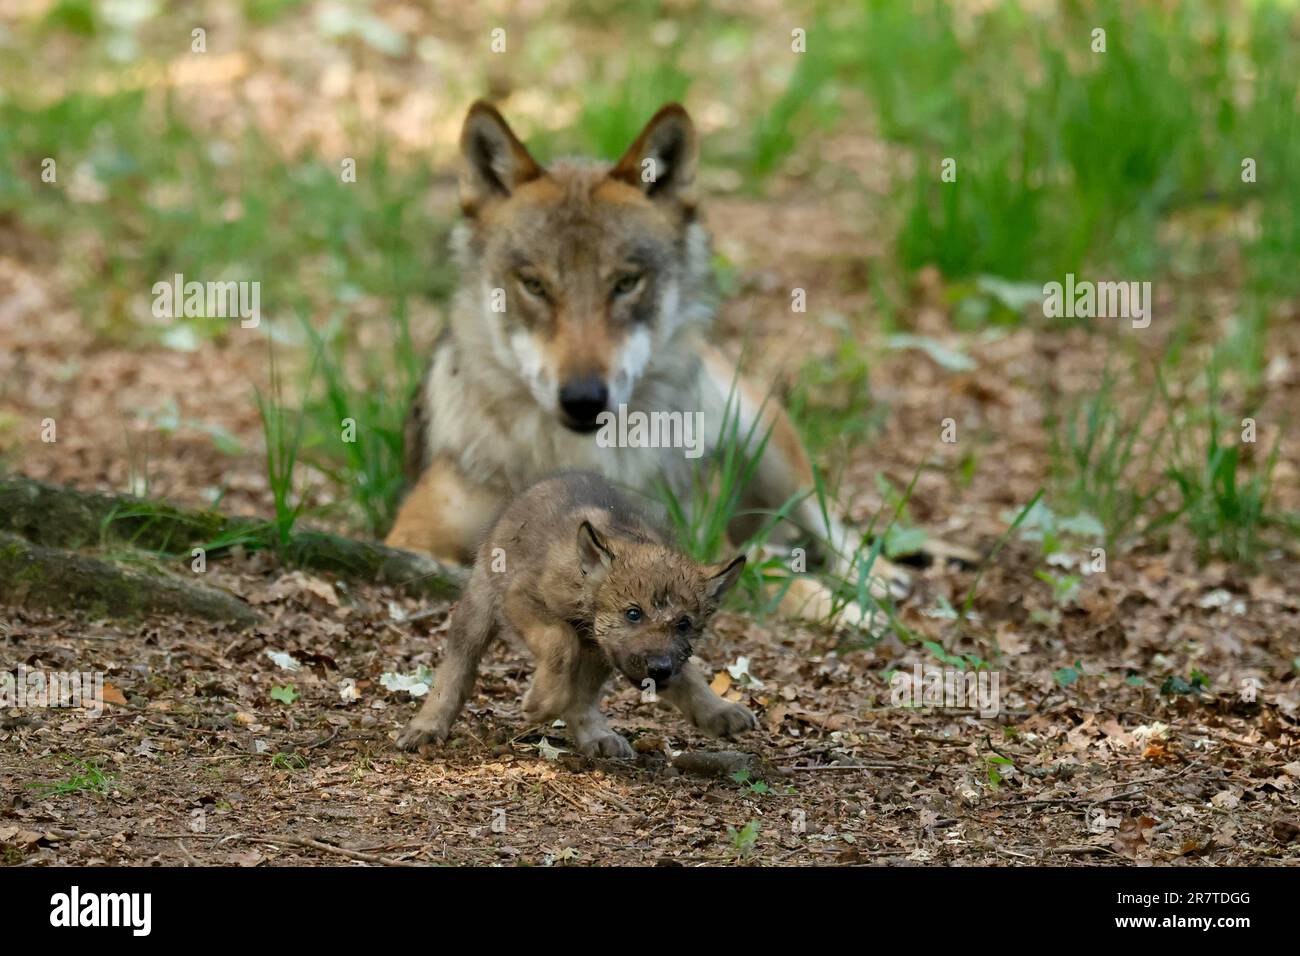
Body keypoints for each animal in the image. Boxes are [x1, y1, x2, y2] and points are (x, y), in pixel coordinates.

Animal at [386, 99, 914, 624]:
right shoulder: (410, 539)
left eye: (626, 283)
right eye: (534, 285)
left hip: (765, 436)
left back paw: (878, 578)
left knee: (821, 524)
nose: (583, 399)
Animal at [395, 471, 756, 757]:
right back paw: (426, 726)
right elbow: (560, 640)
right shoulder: (520, 597)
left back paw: (598, 735)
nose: (659, 668)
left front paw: (718, 711)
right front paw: (541, 703)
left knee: (584, 695)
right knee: (457, 666)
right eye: (633, 613)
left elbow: (687, 673)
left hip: (600, 650)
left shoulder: (612, 648)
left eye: (684, 624)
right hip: (480, 607)